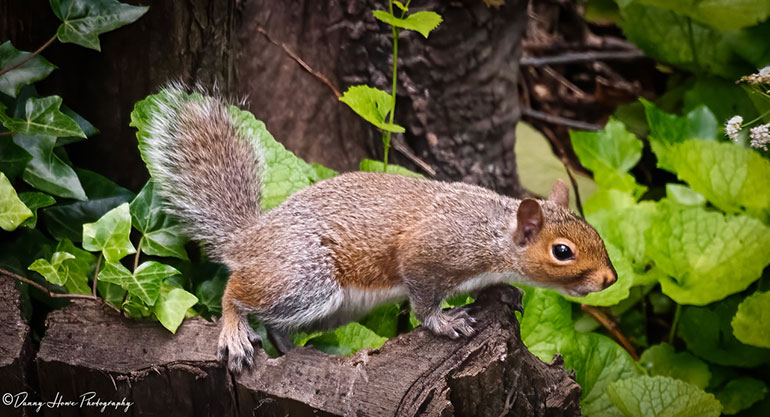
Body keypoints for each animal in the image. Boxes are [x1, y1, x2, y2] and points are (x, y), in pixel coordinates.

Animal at [140, 86, 617, 373]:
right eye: (562, 251)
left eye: (595, 233)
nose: (611, 279)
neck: (490, 232)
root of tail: (250, 239)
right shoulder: (429, 251)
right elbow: (423, 299)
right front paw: (445, 322)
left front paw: (504, 293)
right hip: (305, 277)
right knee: (236, 291)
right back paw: (235, 332)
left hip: (331, 309)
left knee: (277, 326)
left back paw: (296, 351)